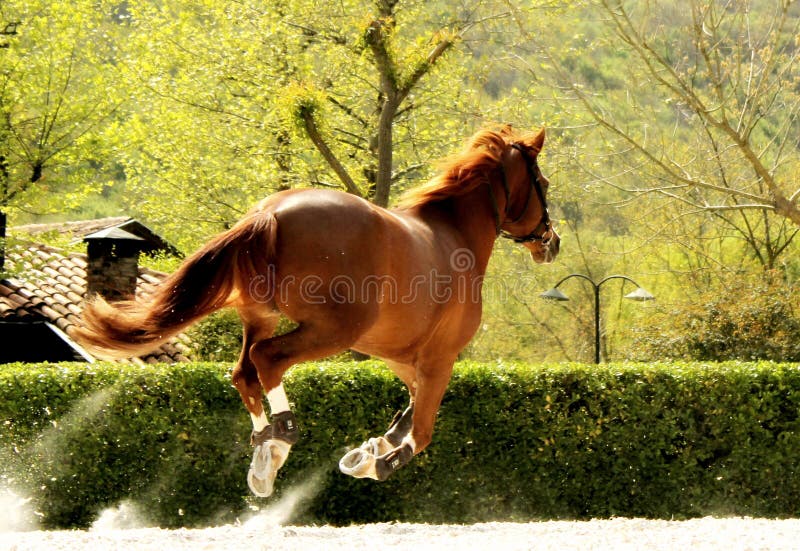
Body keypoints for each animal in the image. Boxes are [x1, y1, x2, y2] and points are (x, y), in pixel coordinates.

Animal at [74, 125, 560, 497]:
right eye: (544, 185)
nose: (551, 242)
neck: (454, 235)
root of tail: (268, 213)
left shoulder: (405, 359)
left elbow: (406, 411)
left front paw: (368, 449)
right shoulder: (438, 359)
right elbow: (420, 431)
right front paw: (375, 462)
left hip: (262, 317)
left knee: (244, 373)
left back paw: (264, 454)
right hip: (329, 332)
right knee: (267, 360)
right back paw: (282, 439)